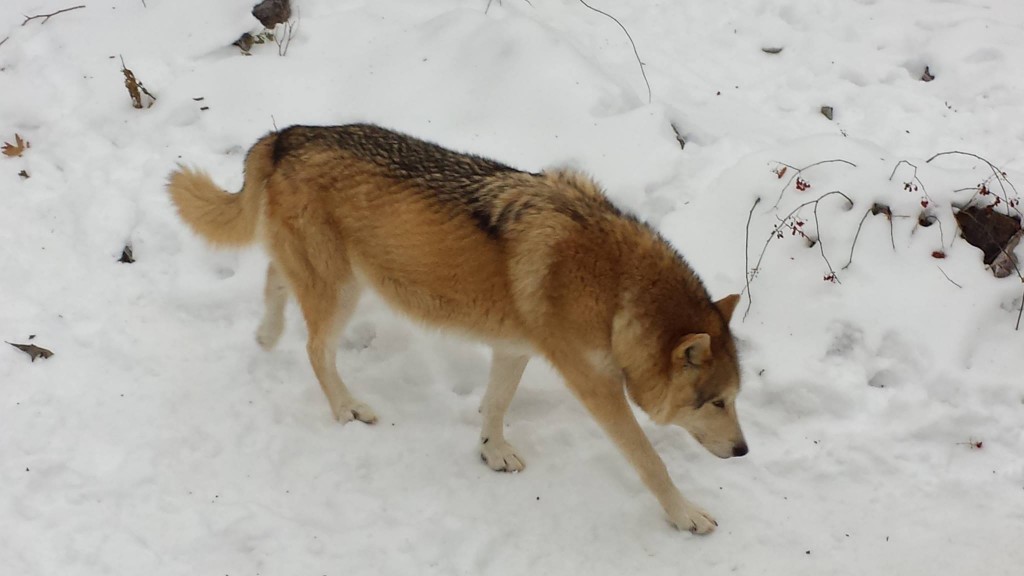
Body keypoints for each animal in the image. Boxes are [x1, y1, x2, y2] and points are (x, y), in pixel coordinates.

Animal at [168, 124, 747, 533]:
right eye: (717, 402)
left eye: (736, 399)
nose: (744, 452)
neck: (616, 289)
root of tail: (286, 135)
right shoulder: (596, 386)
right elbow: (650, 461)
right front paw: (686, 515)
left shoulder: (515, 349)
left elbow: (494, 406)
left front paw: (492, 452)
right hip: (343, 291)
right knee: (315, 348)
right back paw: (347, 408)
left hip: (327, 277)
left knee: (274, 277)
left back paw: (266, 335)